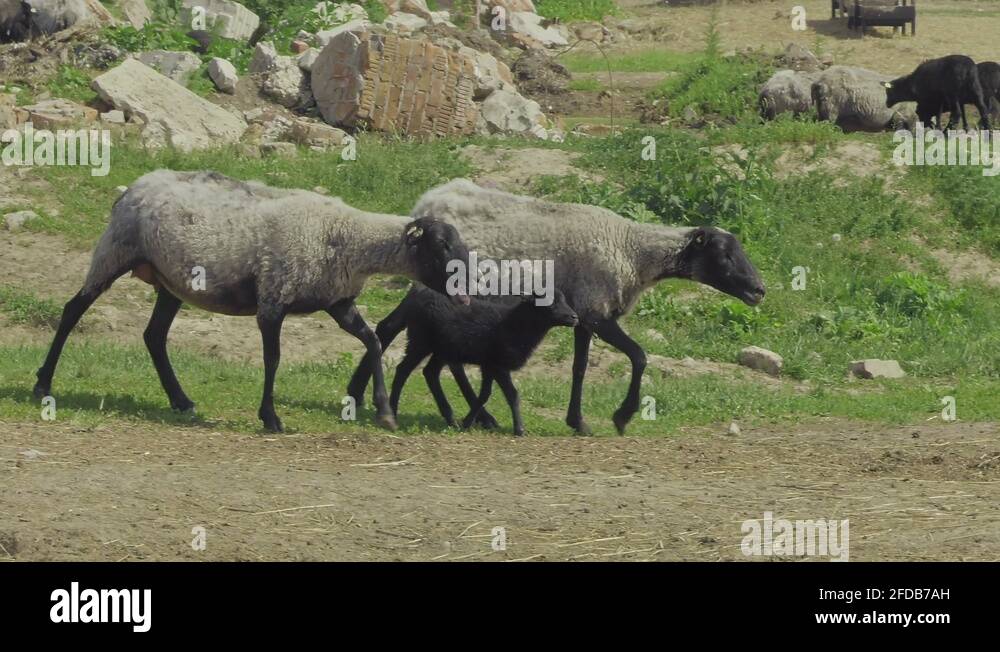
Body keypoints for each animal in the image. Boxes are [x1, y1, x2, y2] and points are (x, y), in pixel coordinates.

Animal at [33, 170, 471, 433]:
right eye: (441, 245)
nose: (466, 295)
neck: (346, 237)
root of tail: (136, 185)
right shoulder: (273, 299)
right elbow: (272, 359)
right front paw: (271, 418)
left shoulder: (337, 301)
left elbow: (373, 341)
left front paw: (384, 412)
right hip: (115, 251)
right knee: (73, 310)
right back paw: (42, 384)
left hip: (172, 282)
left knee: (154, 336)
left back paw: (181, 401)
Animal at [381, 287, 579, 436]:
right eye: (549, 302)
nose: (575, 317)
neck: (515, 326)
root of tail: (416, 296)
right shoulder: (497, 365)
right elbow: (511, 394)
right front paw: (518, 429)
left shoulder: (489, 365)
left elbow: (487, 394)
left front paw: (467, 421)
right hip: (420, 340)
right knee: (402, 370)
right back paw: (393, 411)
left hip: (443, 349)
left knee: (430, 372)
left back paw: (450, 419)